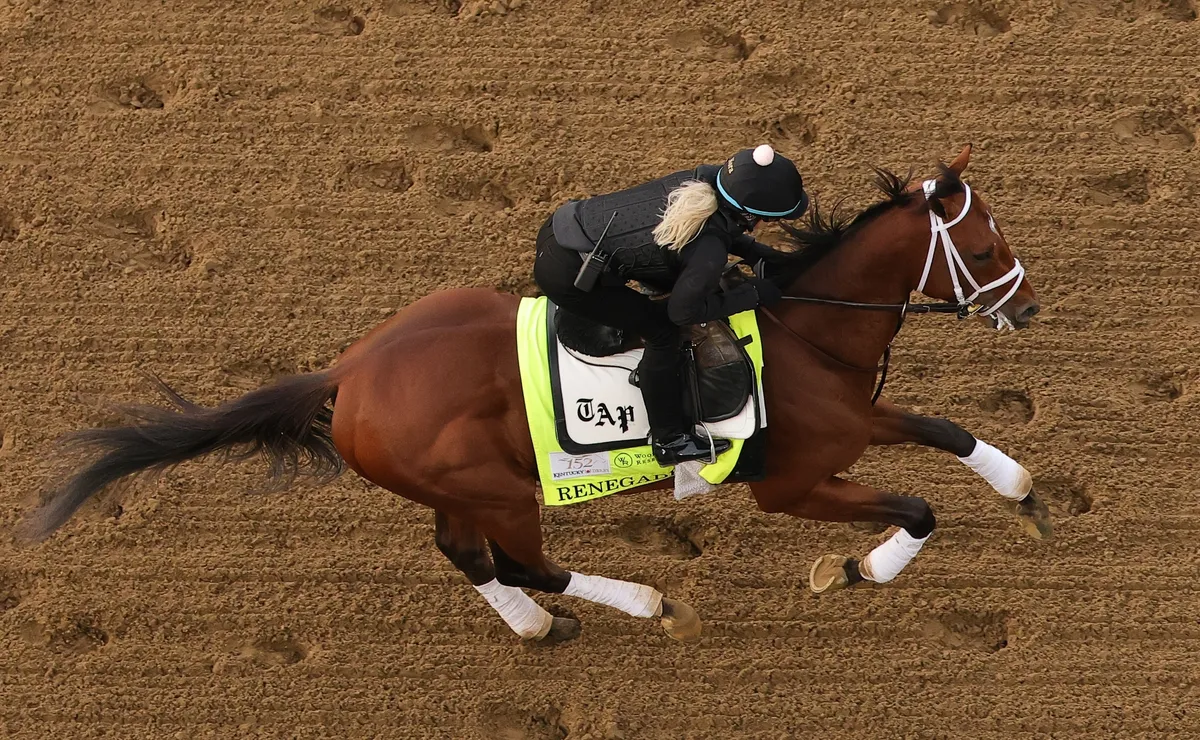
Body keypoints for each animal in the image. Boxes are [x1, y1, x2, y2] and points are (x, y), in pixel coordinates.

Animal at [16, 144, 1048, 645]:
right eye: (984, 244)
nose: (1030, 305)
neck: (807, 335)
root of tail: (350, 373)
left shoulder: (852, 420)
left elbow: (947, 431)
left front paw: (1026, 495)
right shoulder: (789, 482)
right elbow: (915, 508)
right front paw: (856, 568)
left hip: (460, 485)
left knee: (469, 556)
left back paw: (540, 629)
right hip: (505, 486)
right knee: (525, 561)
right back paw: (647, 605)